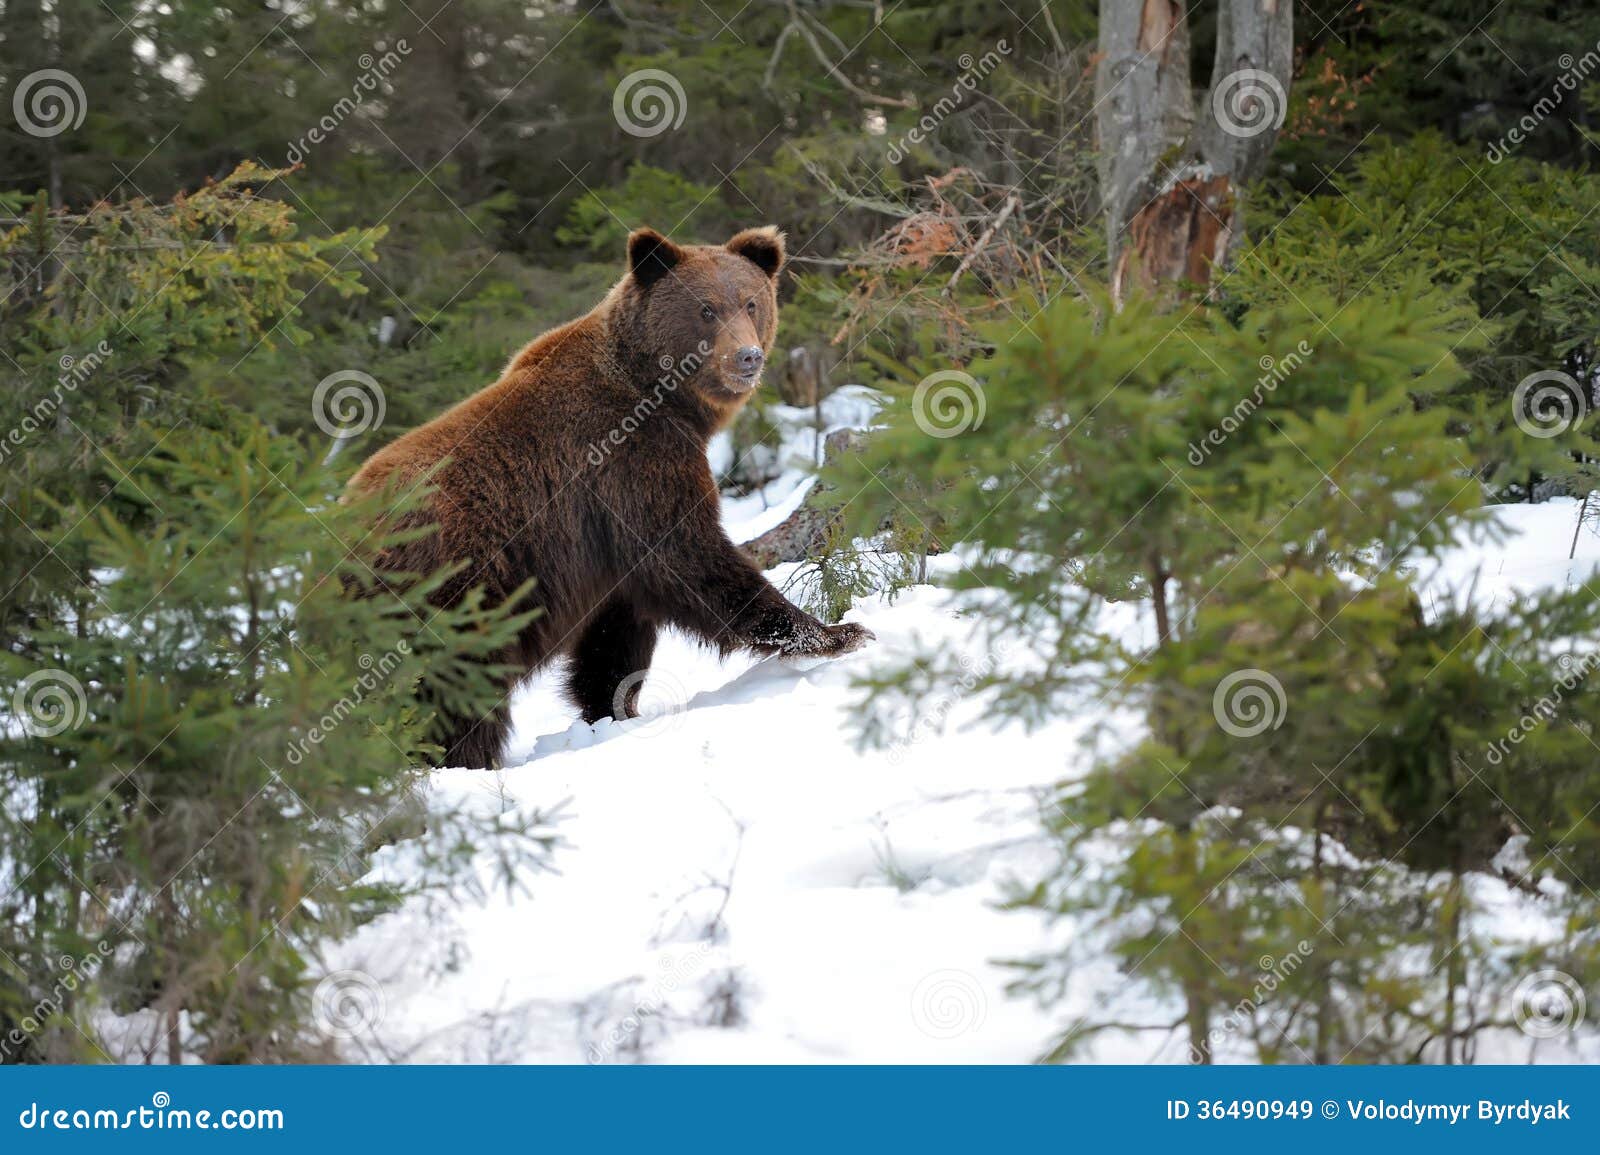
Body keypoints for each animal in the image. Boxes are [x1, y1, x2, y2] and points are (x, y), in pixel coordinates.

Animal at [347, 225, 874, 769]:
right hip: (459, 588)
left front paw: (613, 710)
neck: (666, 397)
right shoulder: (628, 462)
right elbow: (692, 556)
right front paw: (838, 634)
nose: (747, 357)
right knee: (454, 691)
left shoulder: (606, 537)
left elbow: (615, 635)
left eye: (751, 302)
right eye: (706, 309)